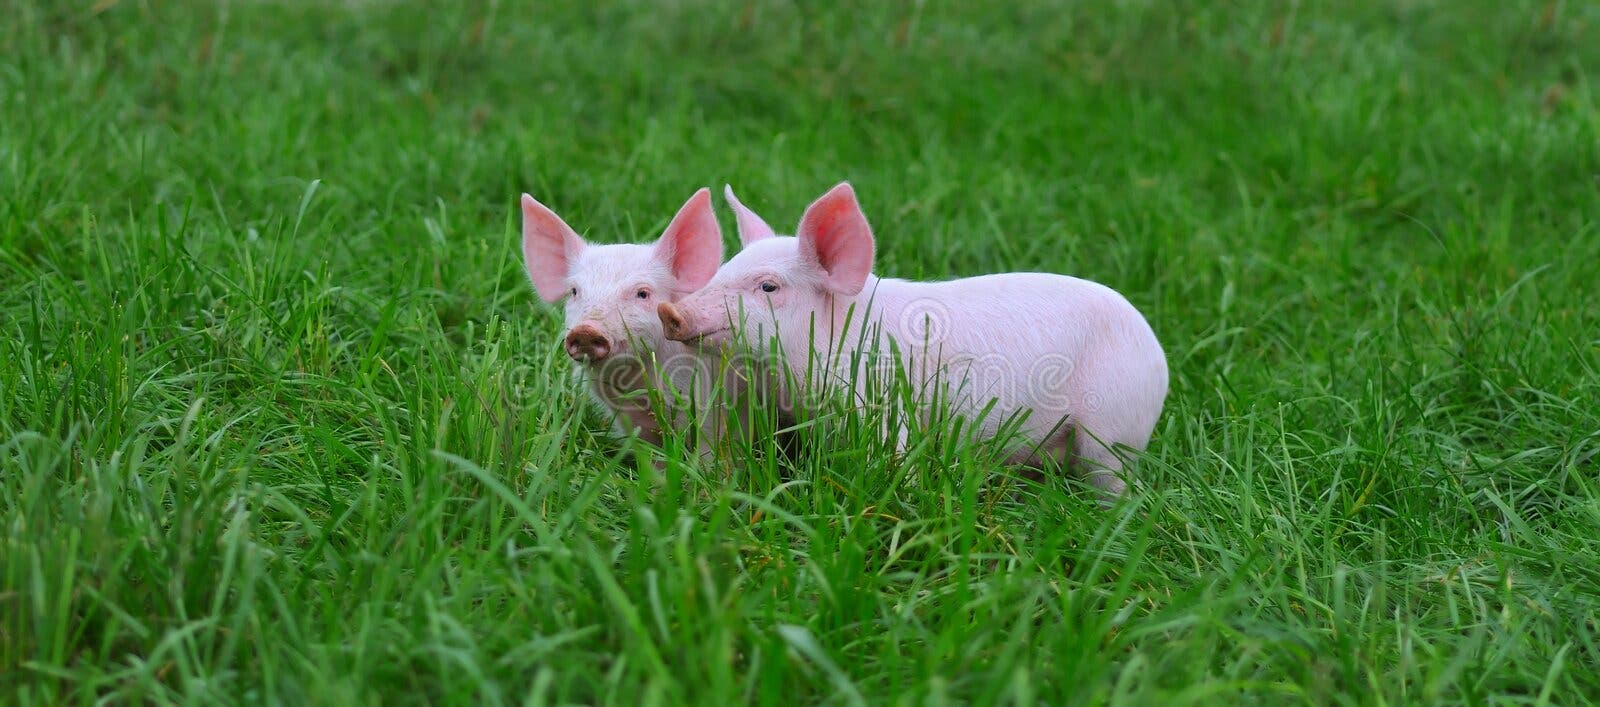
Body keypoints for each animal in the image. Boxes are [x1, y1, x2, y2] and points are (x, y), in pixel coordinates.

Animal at [657, 183, 1168, 496]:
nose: (670, 312)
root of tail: (1158, 354)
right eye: (724, 268)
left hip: (1113, 422)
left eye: (768, 287)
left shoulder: (877, 400)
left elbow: (888, 453)